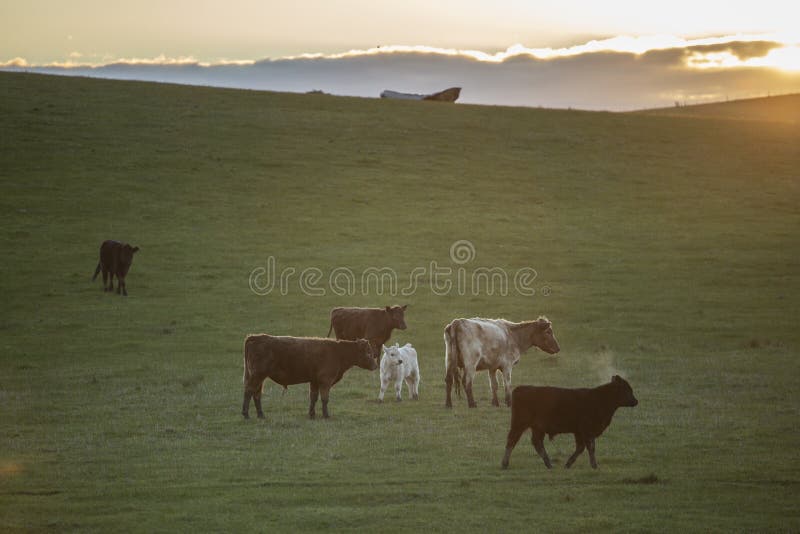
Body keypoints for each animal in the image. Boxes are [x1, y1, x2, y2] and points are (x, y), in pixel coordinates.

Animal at [242, 335, 377, 420]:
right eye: (368, 352)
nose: (375, 365)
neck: (337, 352)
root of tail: (256, 337)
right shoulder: (325, 381)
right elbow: (324, 399)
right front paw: (326, 415)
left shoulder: (314, 381)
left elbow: (313, 398)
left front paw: (312, 414)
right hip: (257, 376)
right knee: (249, 391)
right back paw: (246, 414)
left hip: (259, 378)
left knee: (256, 394)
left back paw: (260, 415)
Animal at [501, 375, 639, 470]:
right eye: (627, 389)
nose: (636, 401)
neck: (600, 398)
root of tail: (521, 388)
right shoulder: (586, 430)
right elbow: (589, 447)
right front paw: (594, 465)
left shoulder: (581, 432)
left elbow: (582, 448)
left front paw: (568, 464)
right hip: (519, 424)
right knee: (512, 441)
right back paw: (505, 464)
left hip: (537, 428)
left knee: (536, 443)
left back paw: (548, 464)